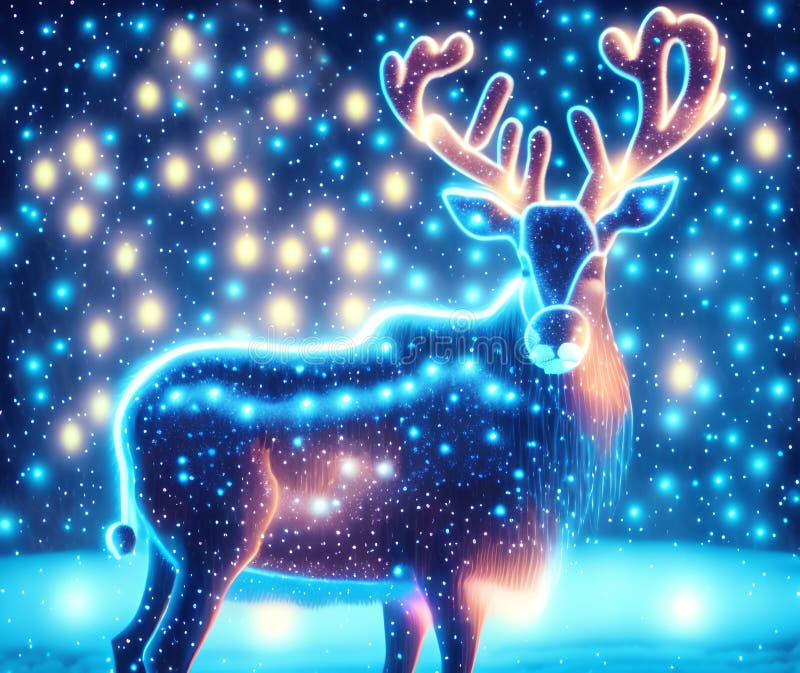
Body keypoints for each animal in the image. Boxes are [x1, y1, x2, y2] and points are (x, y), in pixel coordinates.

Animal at [106, 8, 725, 673]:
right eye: (520, 258)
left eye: (599, 257)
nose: (555, 331)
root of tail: (127, 418)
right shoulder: (451, 556)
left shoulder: (401, 582)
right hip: (216, 536)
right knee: (163, 650)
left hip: (164, 551)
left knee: (127, 640)